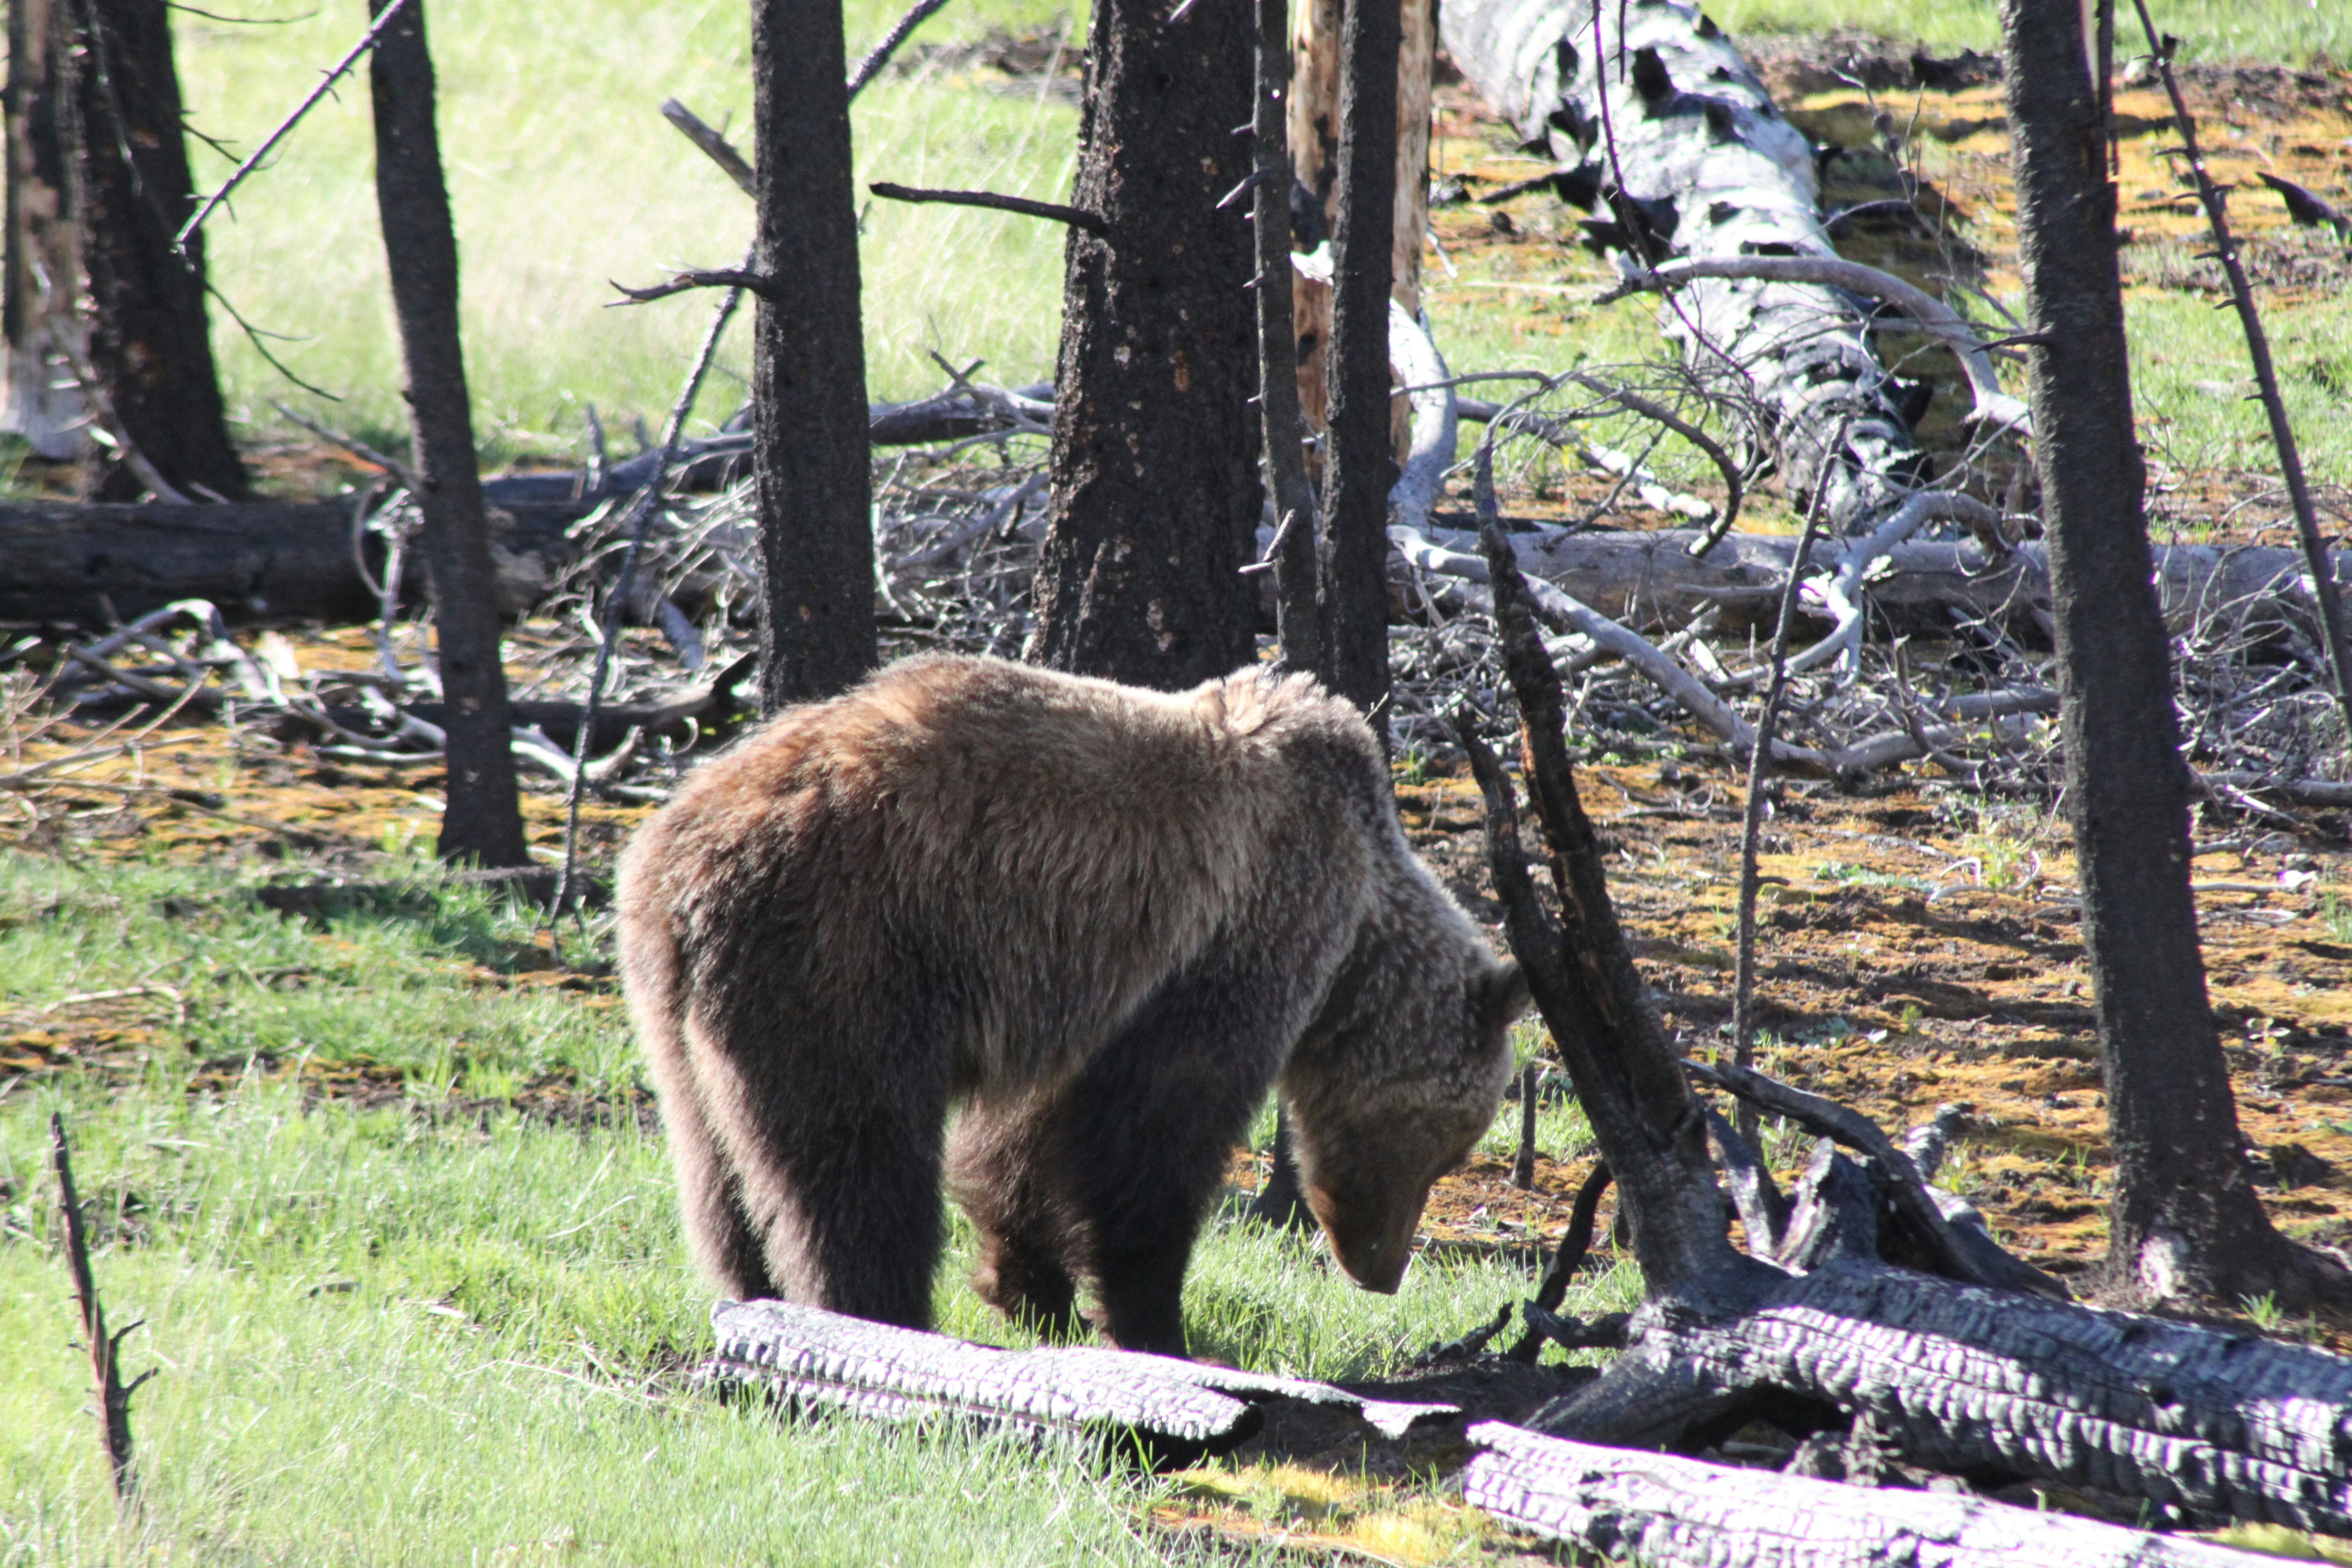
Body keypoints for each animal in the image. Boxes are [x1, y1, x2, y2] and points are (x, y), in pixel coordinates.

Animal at [615, 652, 1526, 1357]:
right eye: (1449, 1148)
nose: (1383, 1270)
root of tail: (680, 868)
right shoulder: (1230, 934)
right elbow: (1155, 1139)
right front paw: (1152, 1322)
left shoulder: (1089, 991)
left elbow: (1023, 1144)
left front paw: (1031, 1291)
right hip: (848, 953)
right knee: (855, 1159)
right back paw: (877, 1311)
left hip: (677, 1014)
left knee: (715, 1170)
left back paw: (750, 1292)